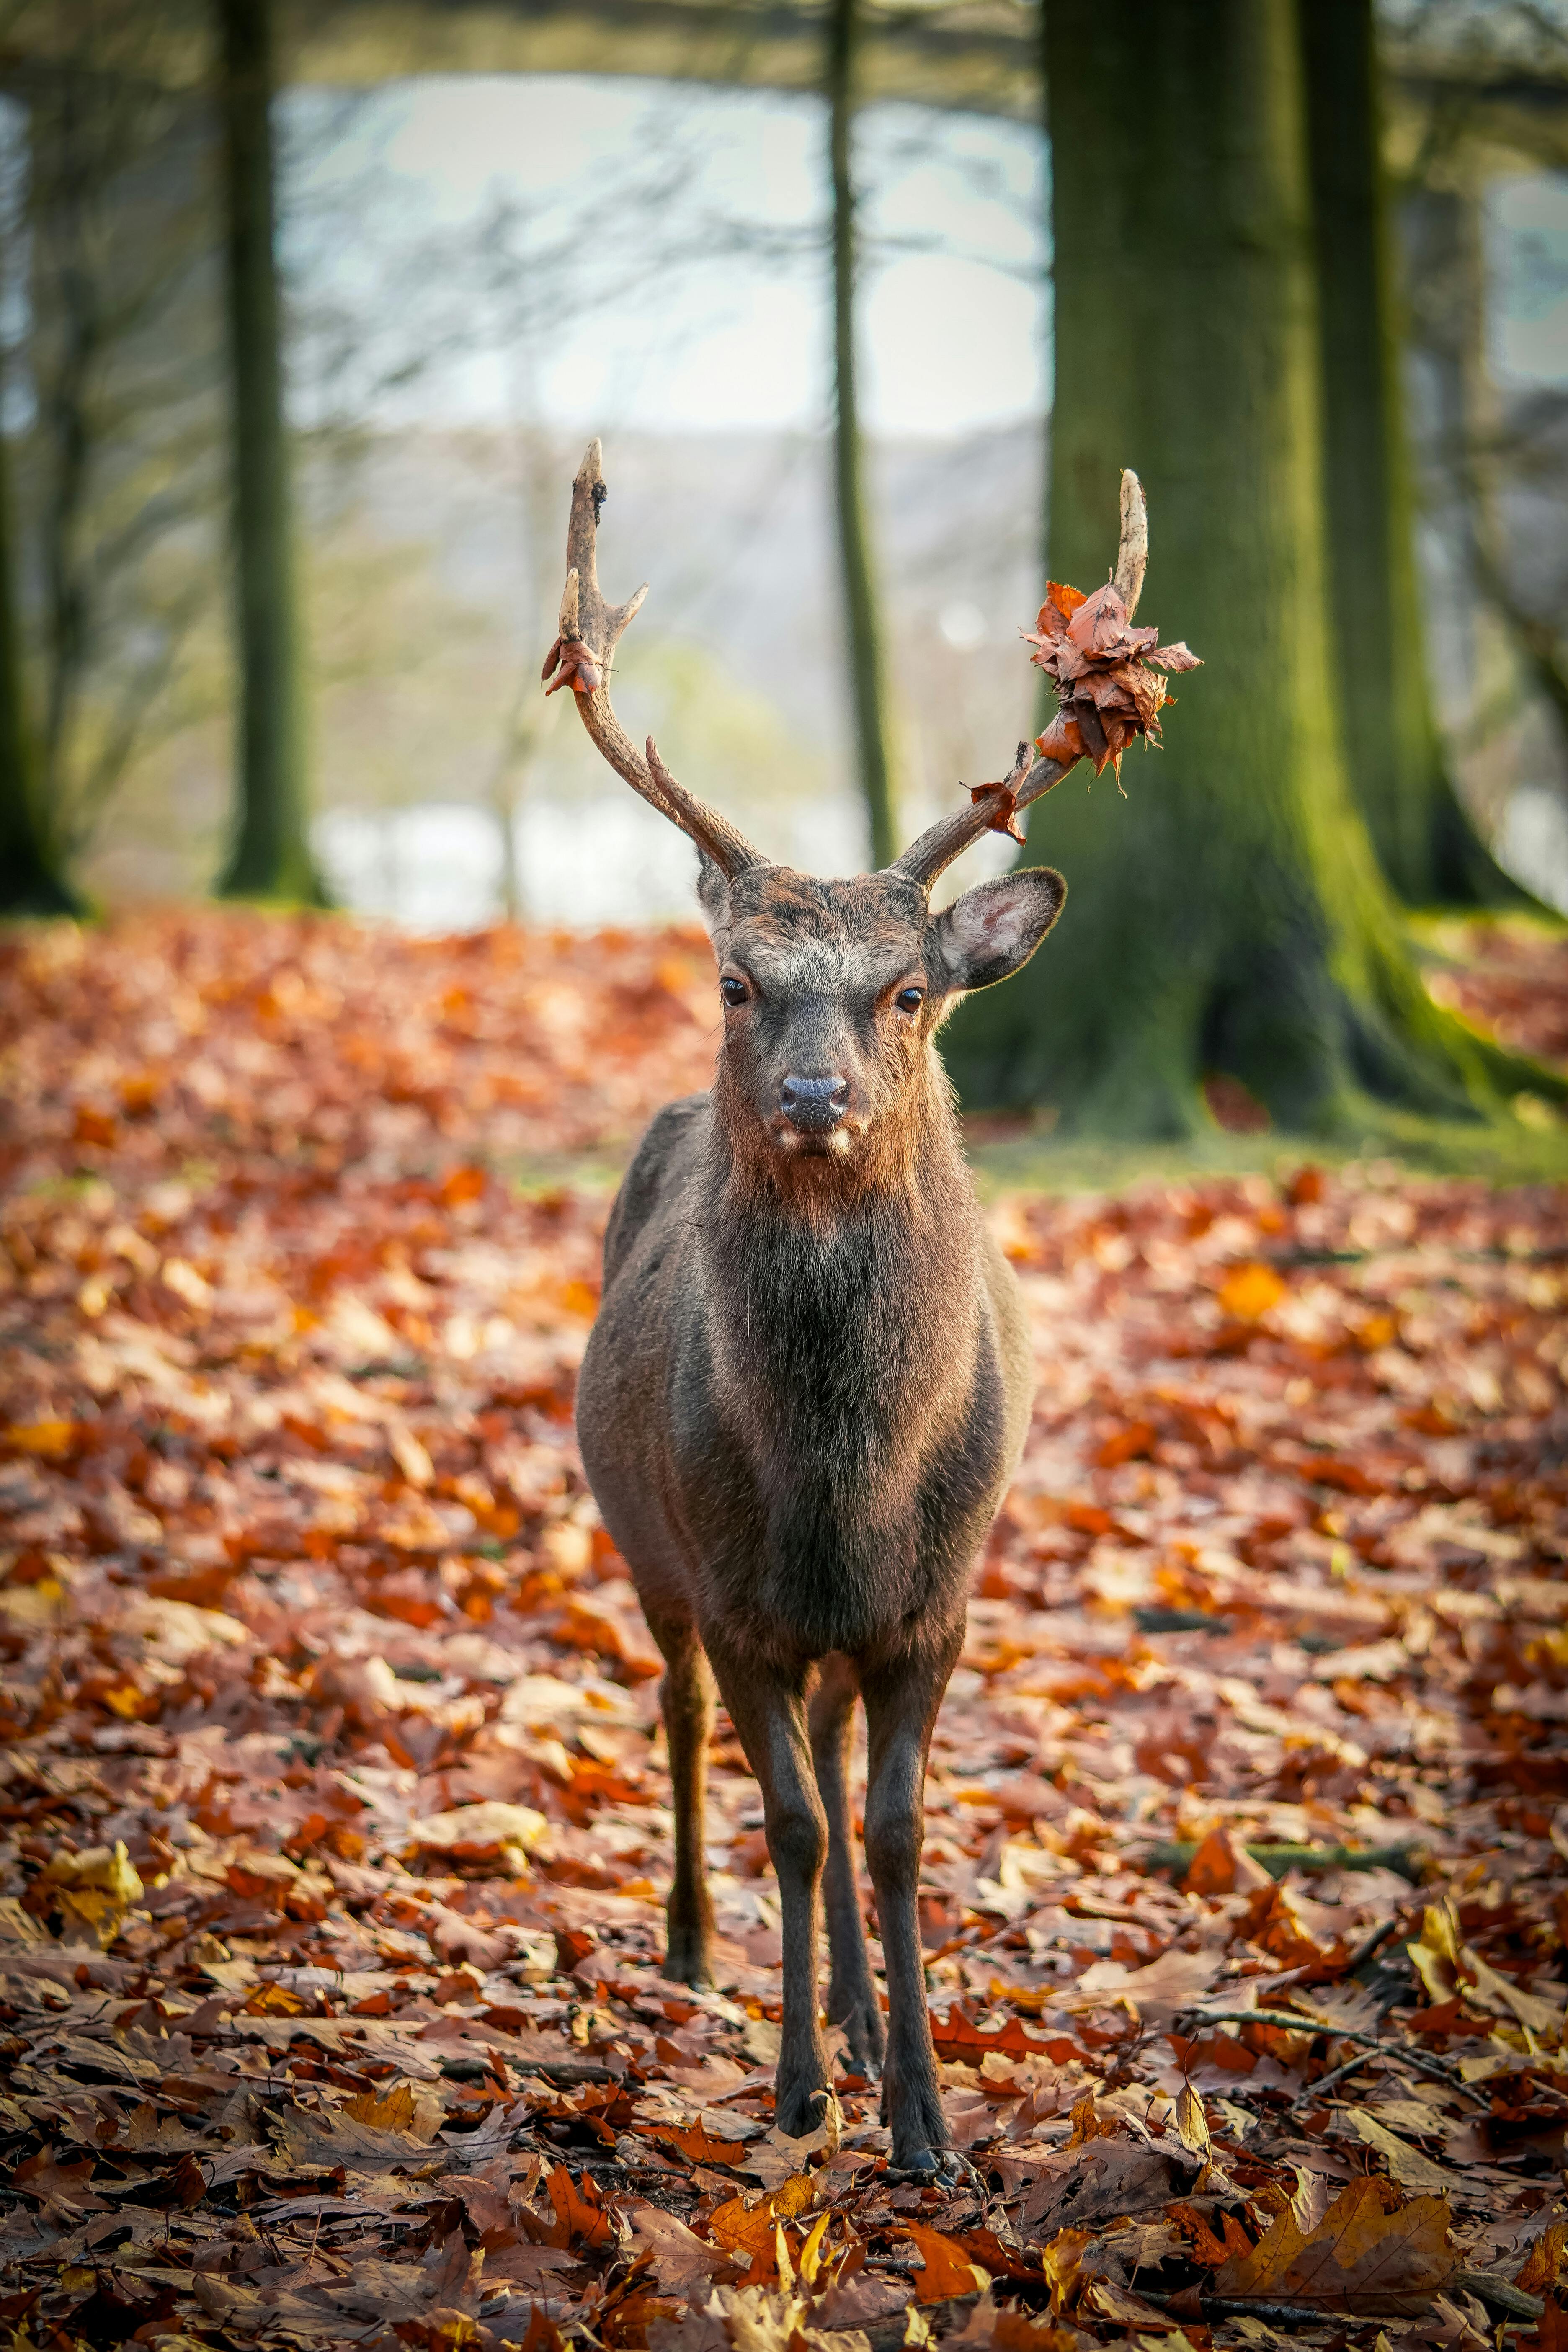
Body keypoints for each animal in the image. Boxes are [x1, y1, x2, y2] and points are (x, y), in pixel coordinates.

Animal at [550, 441, 1154, 2183]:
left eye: (908, 990)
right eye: (738, 981)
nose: (815, 1095)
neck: (844, 1473)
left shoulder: (935, 1600)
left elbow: (886, 1832)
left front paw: (925, 2115)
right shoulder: (741, 1584)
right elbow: (797, 1825)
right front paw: (802, 2087)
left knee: (821, 1754)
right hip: (651, 1544)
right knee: (682, 1713)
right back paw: (693, 1947)